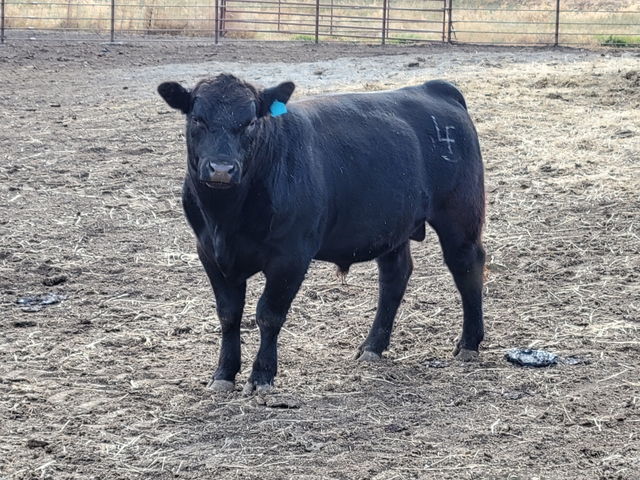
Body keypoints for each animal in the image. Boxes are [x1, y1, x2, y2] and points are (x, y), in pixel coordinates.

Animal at [158, 74, 485, 394]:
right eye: (197, 119)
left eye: (250, 122)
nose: (221, 169)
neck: (226, 220)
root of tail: (433, 88)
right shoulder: (208, 253)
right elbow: (228, 315)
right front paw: (223, 374)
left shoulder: (291, 256)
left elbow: (269, 314)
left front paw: (262, 375)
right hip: (394, 225)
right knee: (394, 278)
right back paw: (373, 346)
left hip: (460, 214)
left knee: (467, 265)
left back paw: (469, 343)